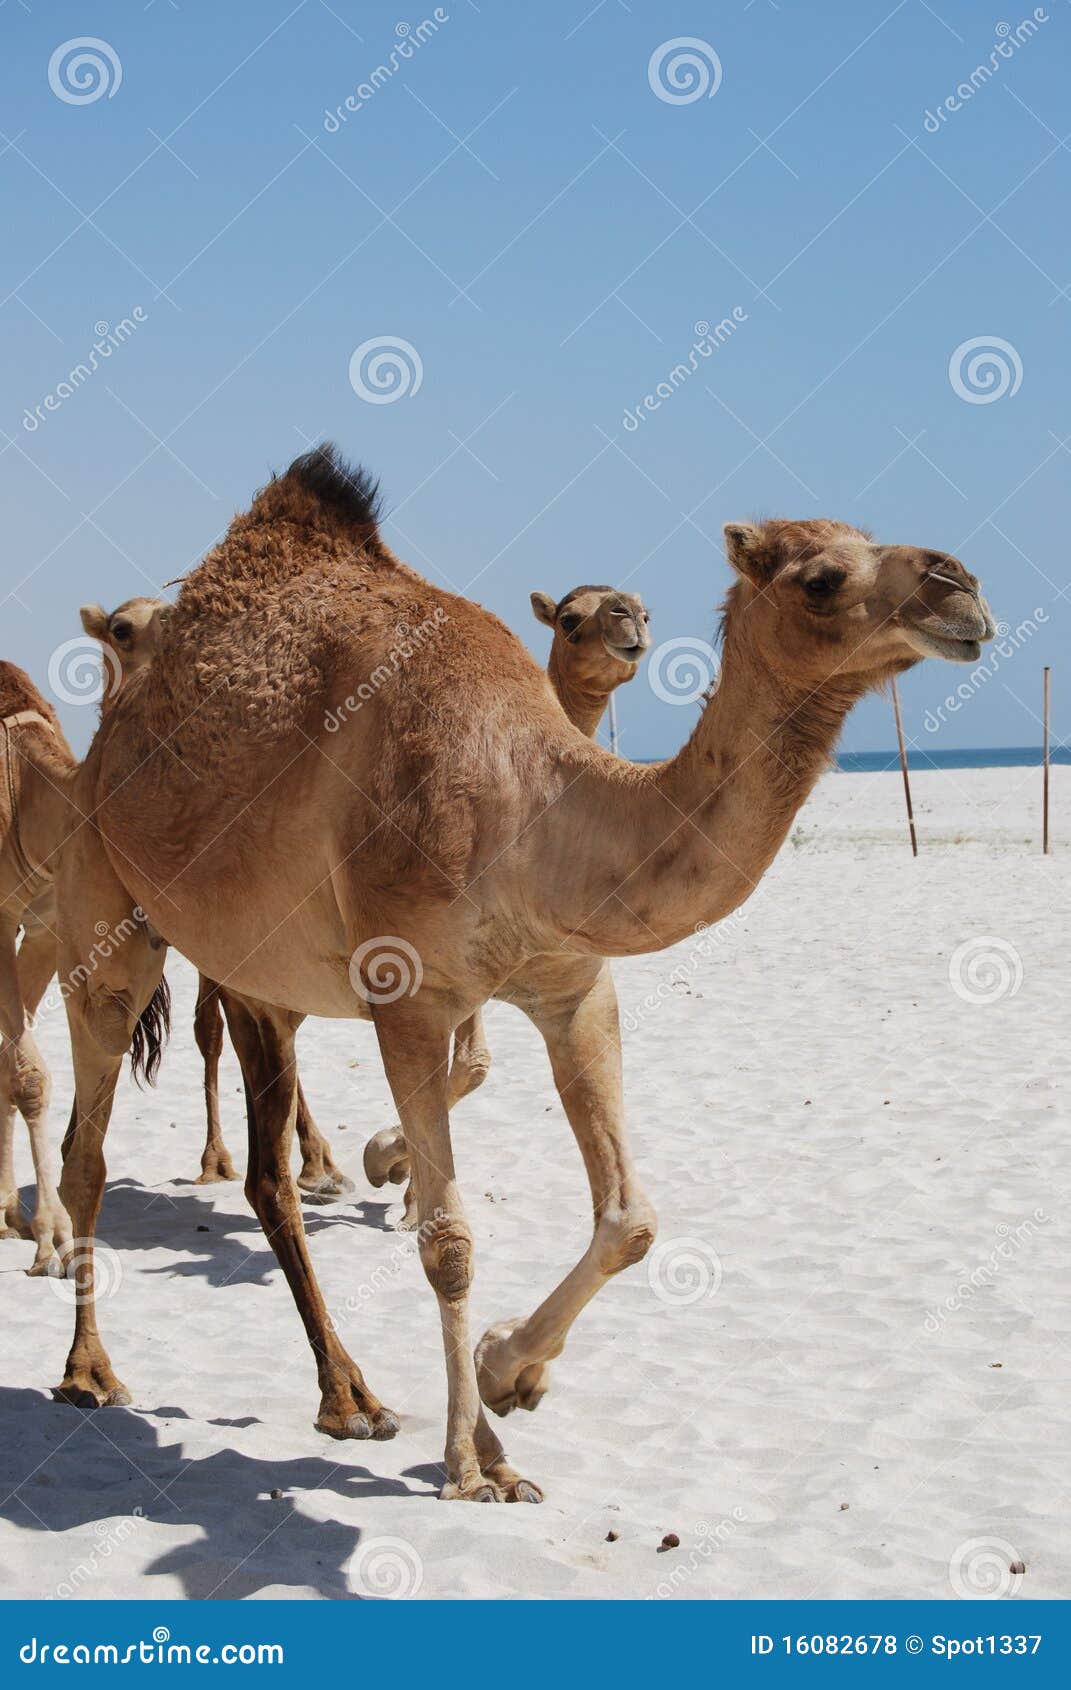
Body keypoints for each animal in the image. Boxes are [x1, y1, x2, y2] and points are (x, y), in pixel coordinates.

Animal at [363, 580, 651, 1225]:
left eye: (644, 611)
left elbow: (469, 1065)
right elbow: (469, 1063)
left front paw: (403, 1182)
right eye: (569, 619)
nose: (631, 619)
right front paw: (388, 1163)